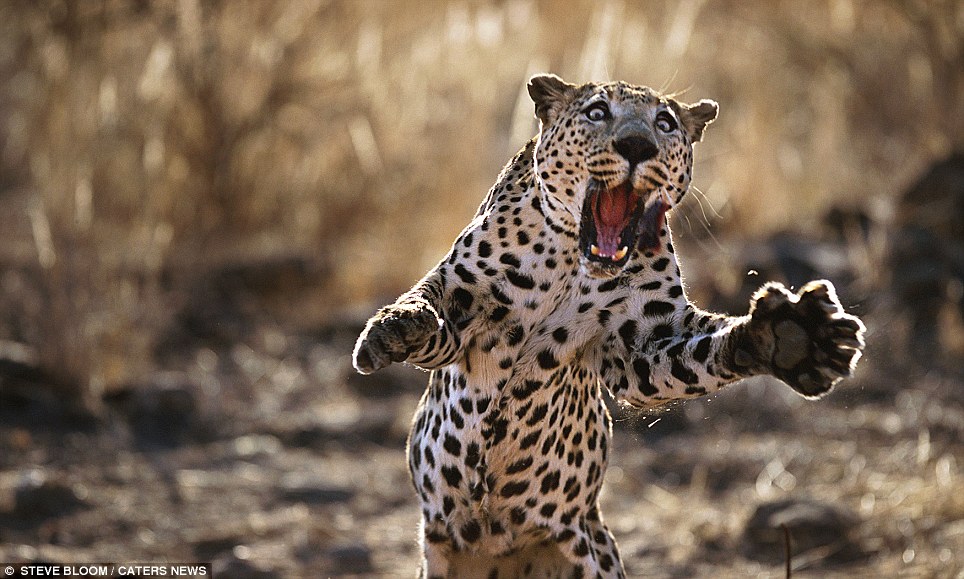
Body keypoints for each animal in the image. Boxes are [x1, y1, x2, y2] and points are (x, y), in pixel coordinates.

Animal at [352, 74, 866, 578]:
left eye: (665, 122)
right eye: (597, 112)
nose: (636, 145)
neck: (569, 264)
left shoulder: (646, 340)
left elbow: (703, 351)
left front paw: (794, 338)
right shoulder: (462, 294)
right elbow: (425, 304)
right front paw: (391, 332)